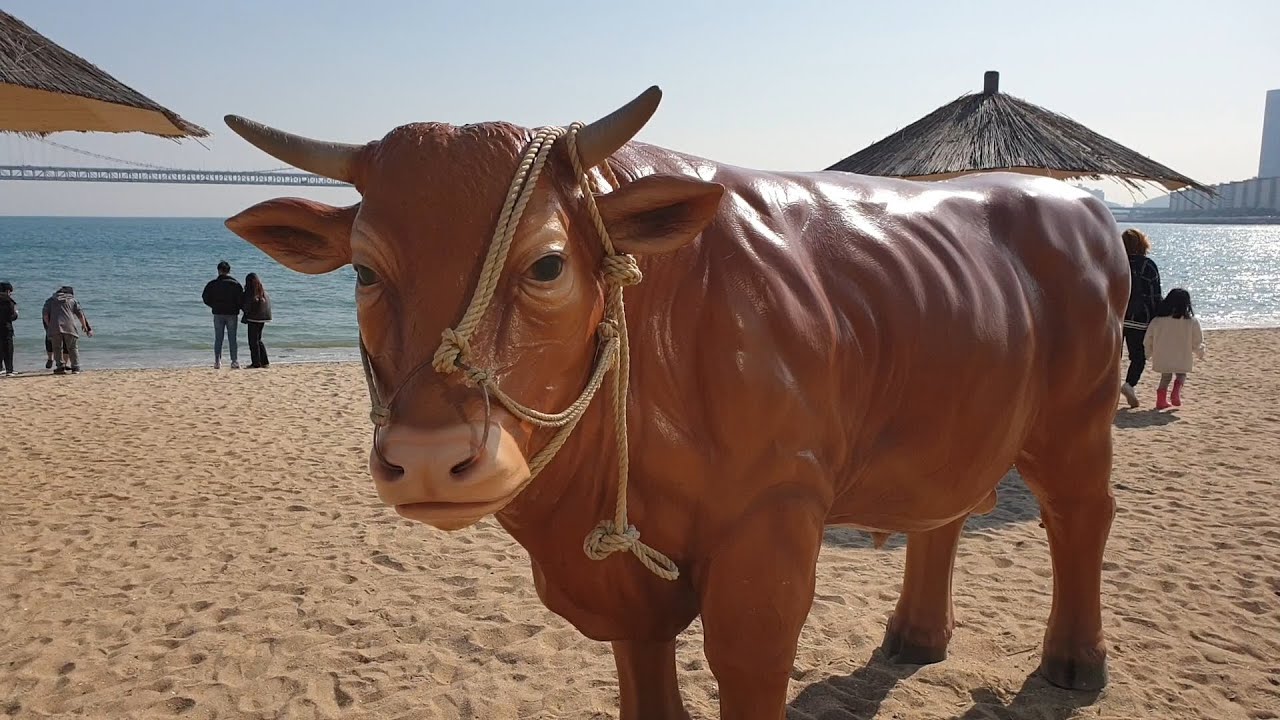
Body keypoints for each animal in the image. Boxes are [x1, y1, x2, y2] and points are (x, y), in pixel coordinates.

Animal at [222, 86, 1125, 720]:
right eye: (364, 271)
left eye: (547, 264)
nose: (428, 458)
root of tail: (1072, 200)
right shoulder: (623, 564)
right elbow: (643, 658)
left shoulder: (772, 516)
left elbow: (748, 657)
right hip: (957, 414)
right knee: (944, 514)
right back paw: (910, 641)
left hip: (1077, 418)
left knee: (1080, 517)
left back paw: (1075, 663)